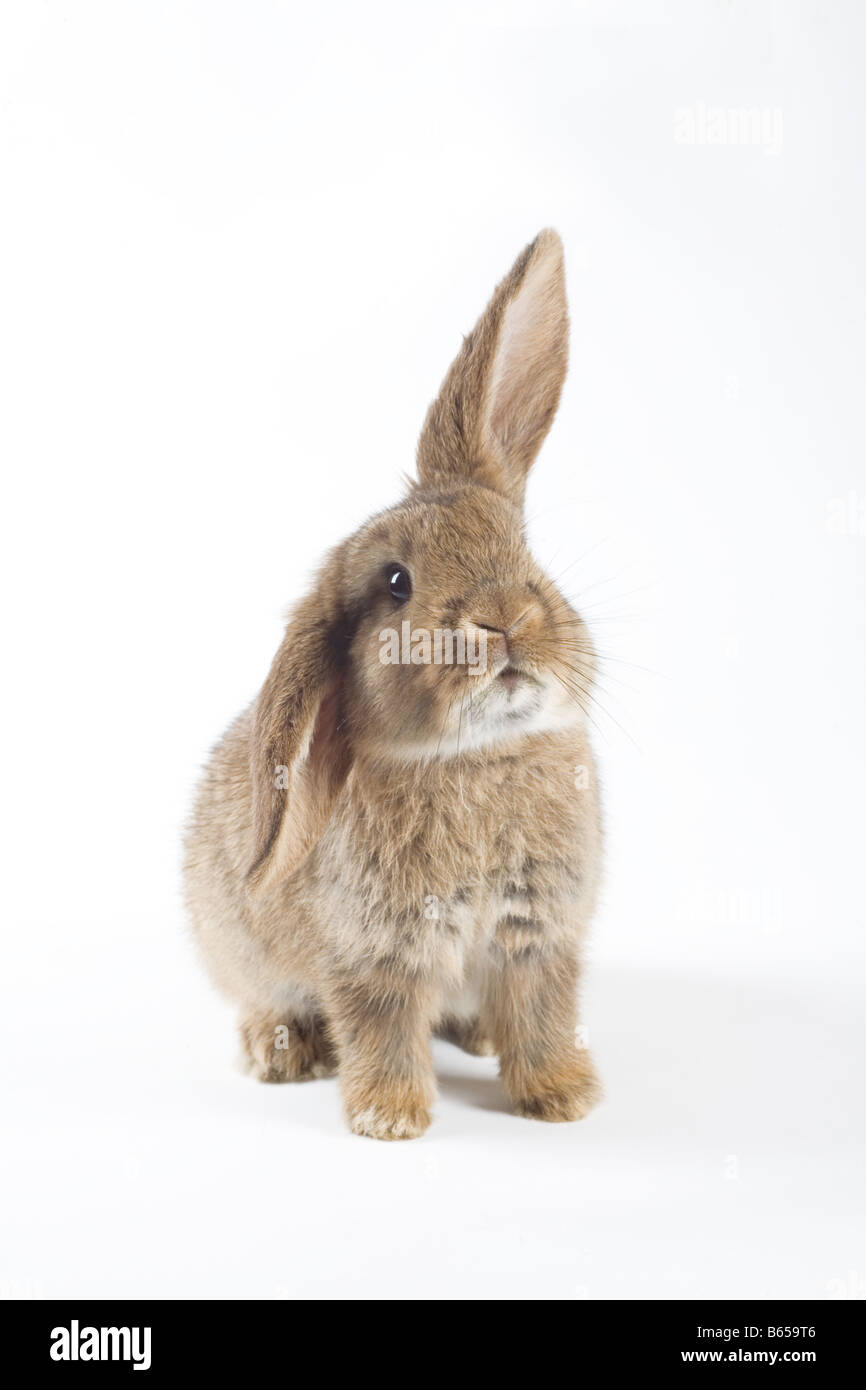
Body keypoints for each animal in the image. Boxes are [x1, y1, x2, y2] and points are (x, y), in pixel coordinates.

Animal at [184, 229, 603, 1140]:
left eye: (523, 550)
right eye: (398, 584)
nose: (504, 618)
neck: (474, 759)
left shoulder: (539, 938)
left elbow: (542, 1017)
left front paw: (564, 1098)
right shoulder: (374, 953)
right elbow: (381, 1027)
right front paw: (391, 1117)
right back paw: (280, 1052)